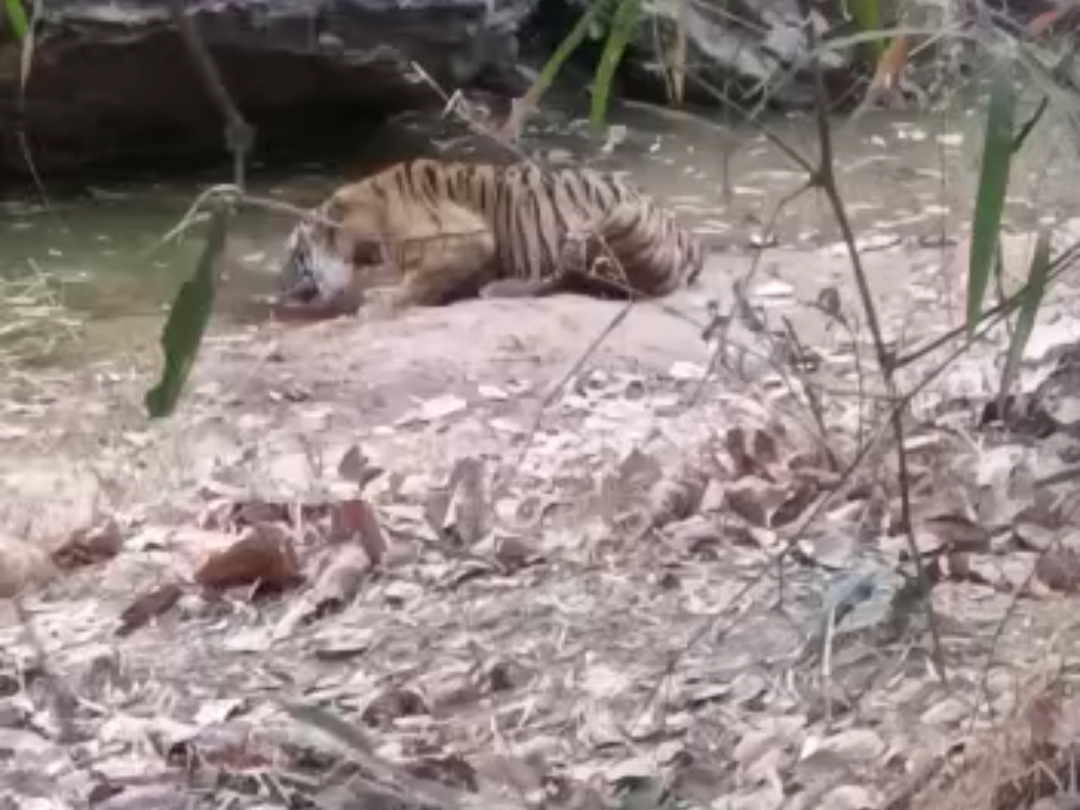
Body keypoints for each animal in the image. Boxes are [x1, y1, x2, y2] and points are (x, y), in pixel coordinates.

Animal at [275, 158, 705, 317]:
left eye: (299, 256)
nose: (288, 293)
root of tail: (688, 237)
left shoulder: (469, 239)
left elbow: (419, 279)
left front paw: (382, 300)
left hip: (610, 219)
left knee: (578, 276)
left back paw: (502, 288)